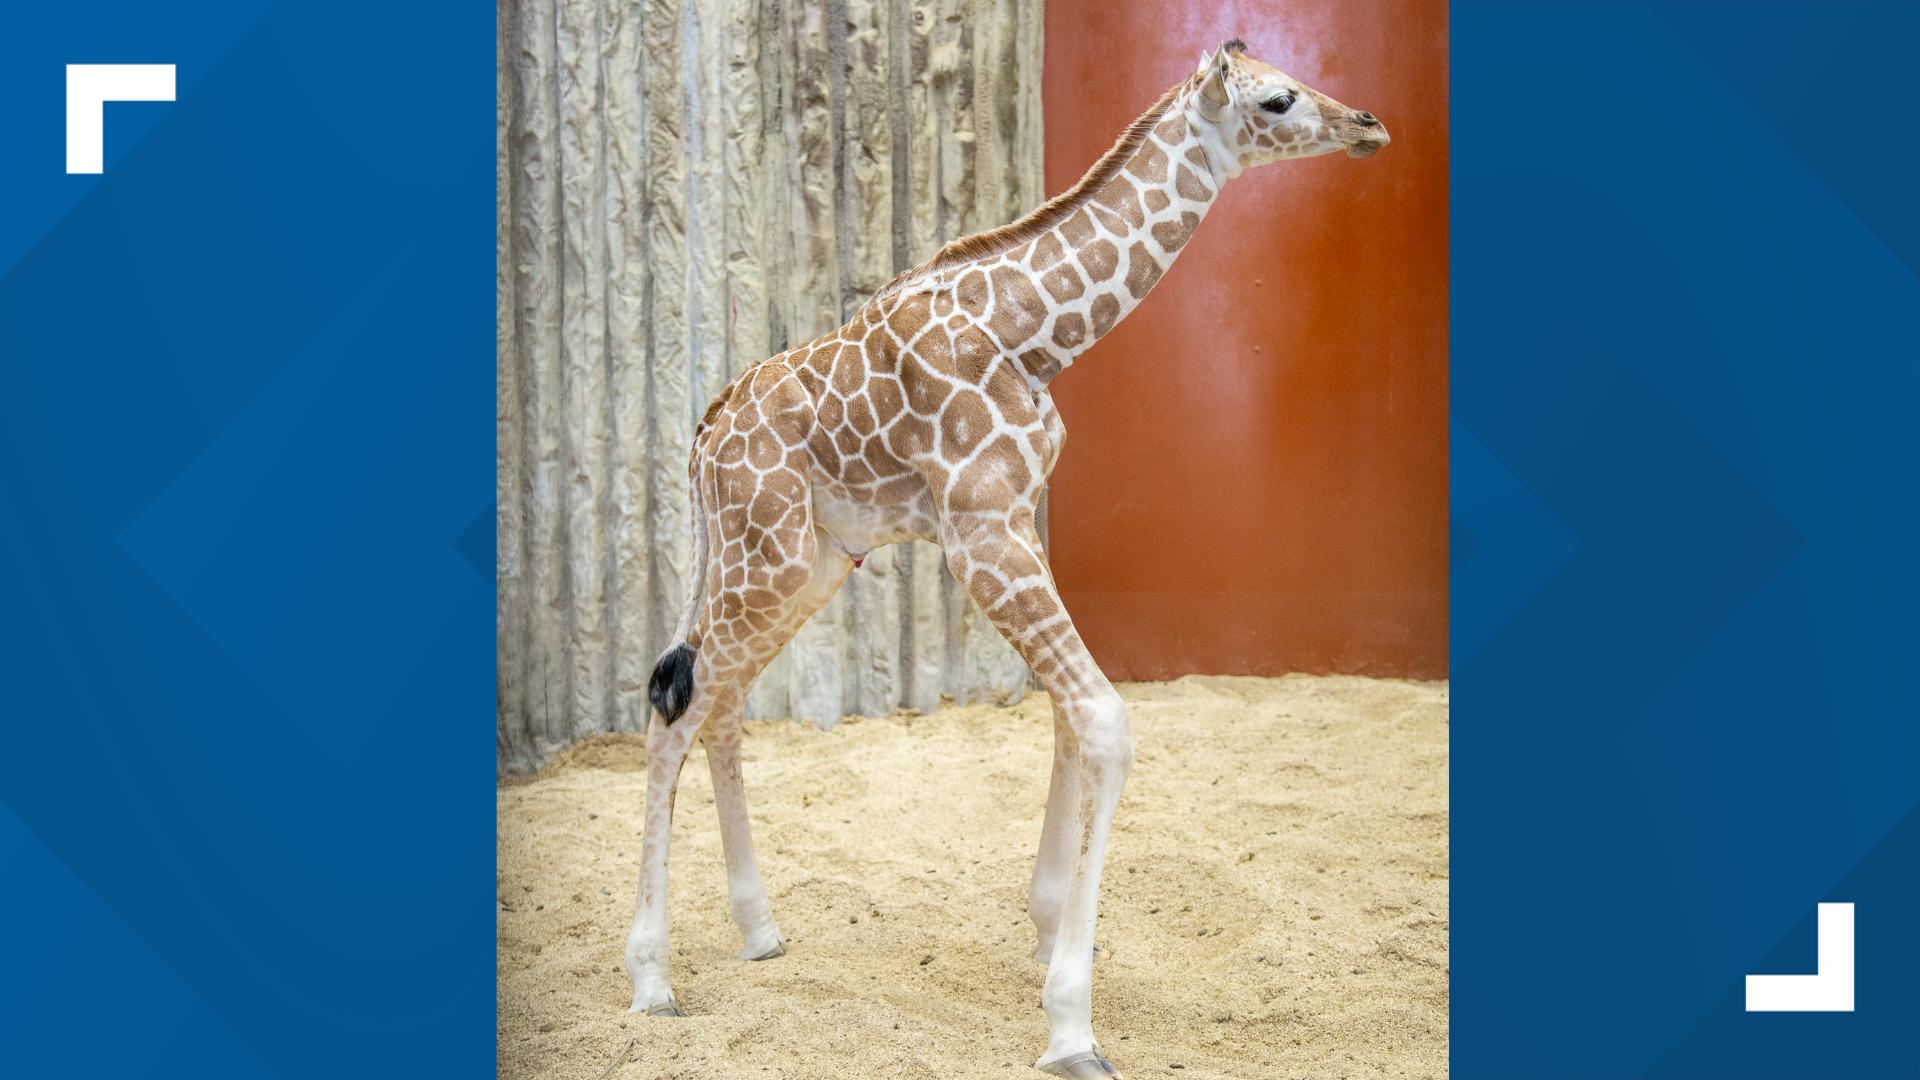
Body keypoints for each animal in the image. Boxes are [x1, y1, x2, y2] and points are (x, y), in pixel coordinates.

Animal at [624, 38, 1389, 1078]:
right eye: (1277, 98)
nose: (1368, 125)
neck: (1035, 335)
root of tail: (702, 436)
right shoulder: (982, 531)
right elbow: (1103, 719)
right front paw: (1071, 1025)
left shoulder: (1019, 518)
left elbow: (1068, 717)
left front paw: (1045, 932)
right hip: (765, 554)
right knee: (676, 709)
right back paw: (652, 981)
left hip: (804, 563)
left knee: (719, 702)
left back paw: (760, 932)